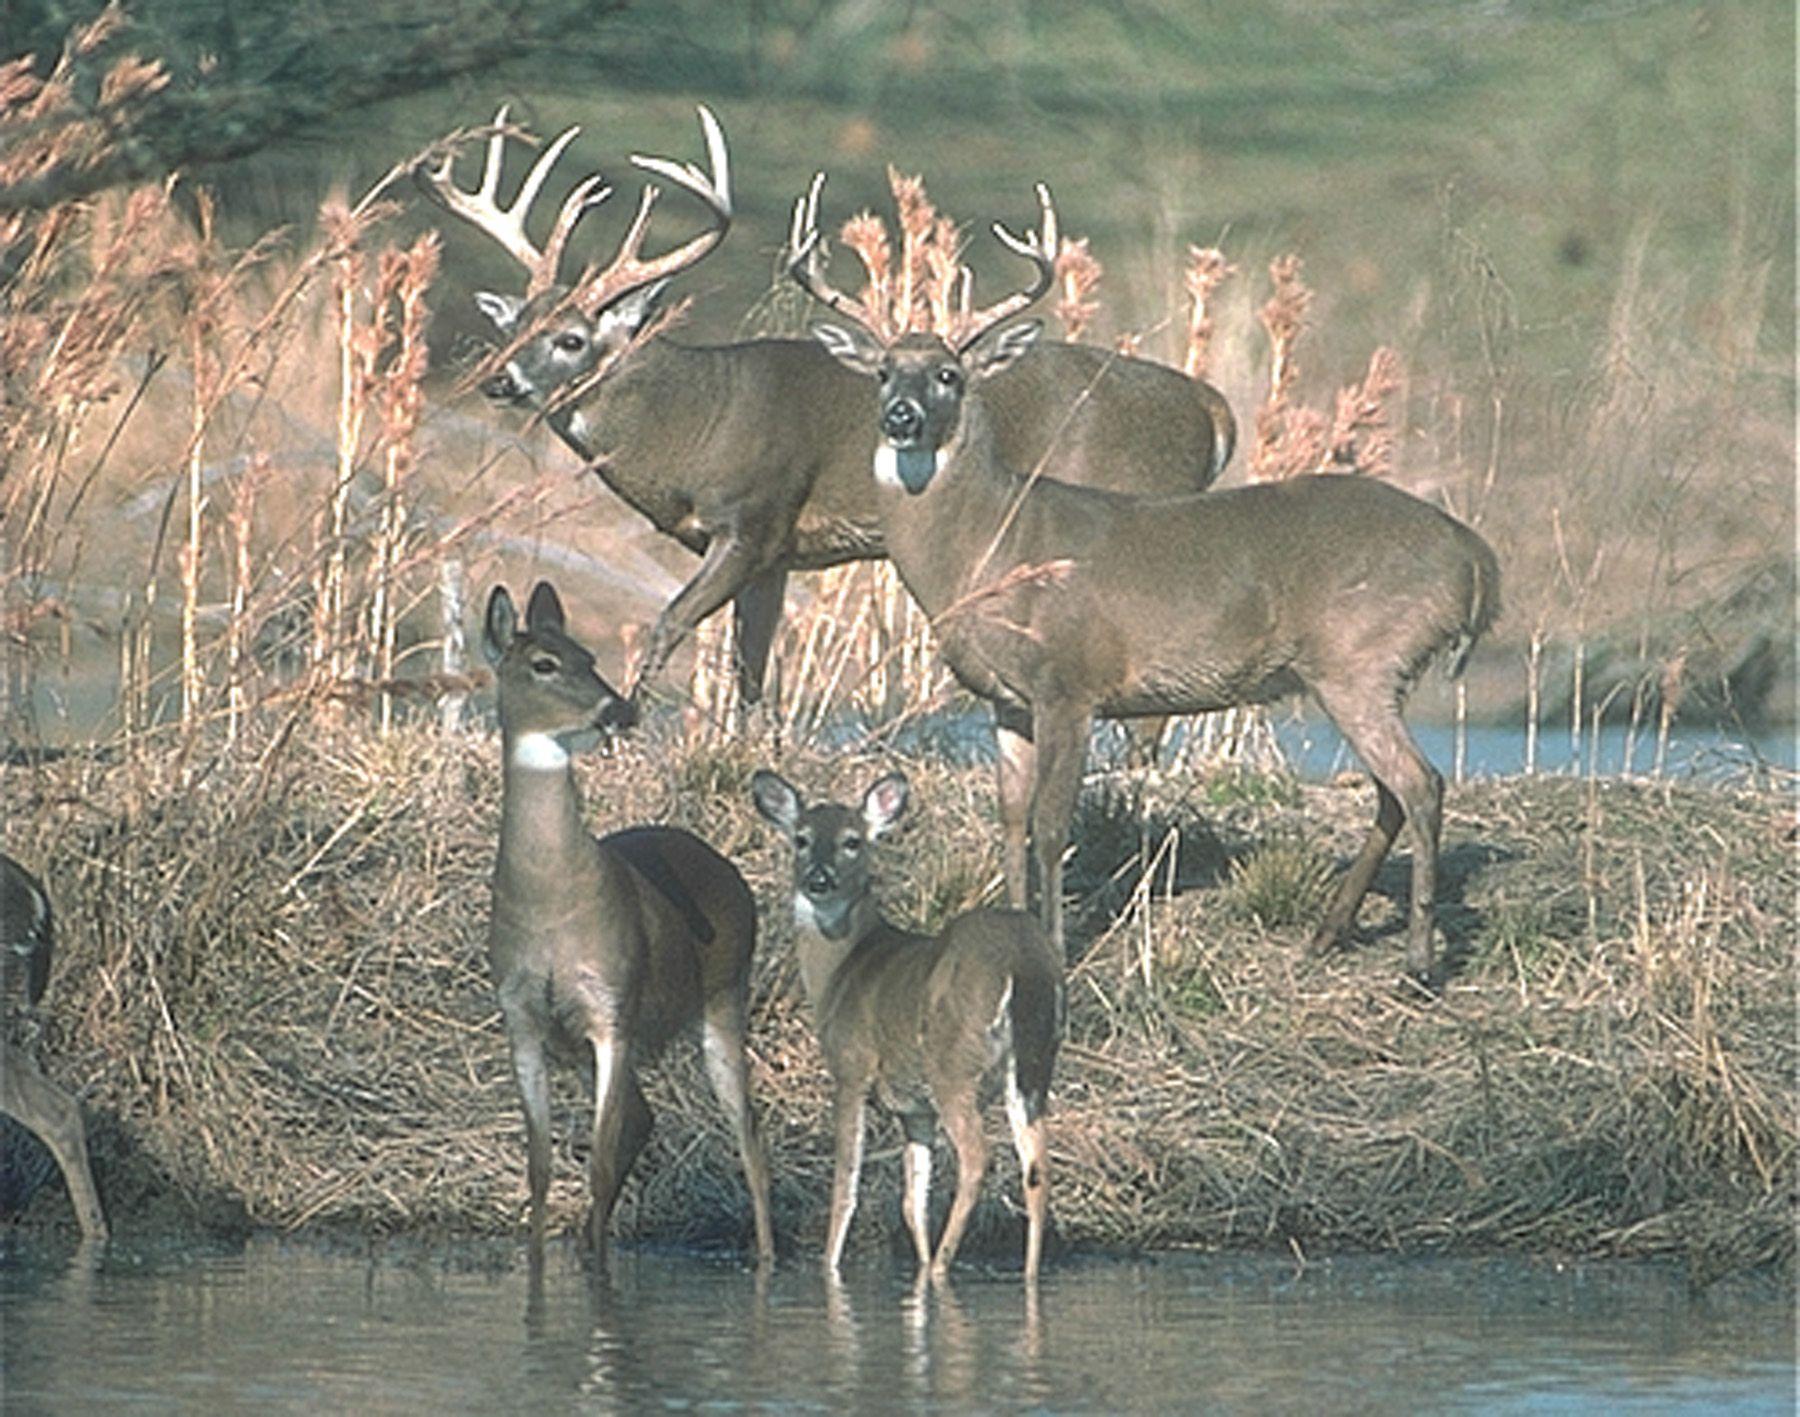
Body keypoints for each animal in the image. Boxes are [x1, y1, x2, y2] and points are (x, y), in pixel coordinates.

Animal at [421, 108, 1235, 710]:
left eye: (571, 338)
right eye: (513, 326)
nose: (499, 382)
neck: (692, 422)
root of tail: (1211, 405)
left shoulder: (753, 517)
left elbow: (668, 625)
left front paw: (630, 724)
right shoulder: (776, 553)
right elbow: (751, 666)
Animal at [483, 579, 775, 1265]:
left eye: (590, 657)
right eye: (545, 663)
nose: (617, 709)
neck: (550, 906)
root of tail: (726, 866)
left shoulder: (612, 1006)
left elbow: (598, 1161)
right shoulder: (522, 1017)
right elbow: (540, 1167)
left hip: (724, 995)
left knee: (748, 1134)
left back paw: (769, 1257)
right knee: (646, 1119)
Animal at [751, 768, 1062, 1282]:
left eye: (852, 841)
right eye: (801, 839)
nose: (819, 878)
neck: (840, 972)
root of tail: (1024, 964)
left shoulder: (851, 1068)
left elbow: (845, 1184)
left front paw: (829, 1267)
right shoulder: (914, 1109)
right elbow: (912, 1199)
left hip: (953, 1062)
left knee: (978, 1156)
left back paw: (942, 1266)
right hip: (1034, 1066)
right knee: (1037, 1166)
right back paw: (1027, 1273)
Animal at [789, 182, 1502, 986]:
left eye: (949, 375)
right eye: (883, 371)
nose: (901, 417)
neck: (987, 551)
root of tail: (1477, 559)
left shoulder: (1070, 680)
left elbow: (1050, 824)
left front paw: (1057, 948)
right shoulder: (1008, 699)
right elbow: (1010, 819)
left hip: (1362, 656)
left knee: (1420, 784)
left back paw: (1419, 959)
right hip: (1362, 672)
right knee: (1391, 791)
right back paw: (1329, 932)